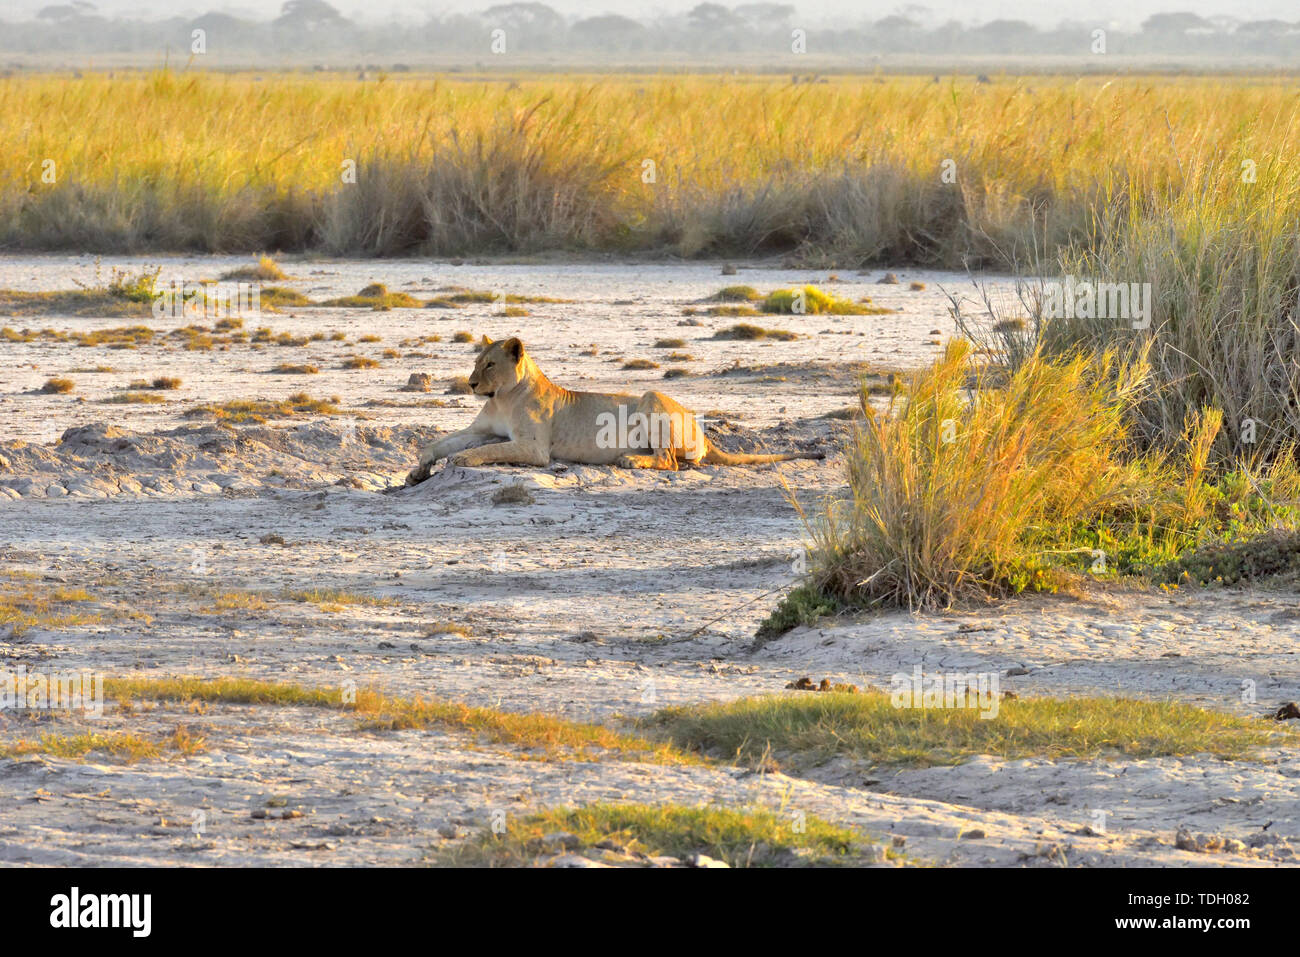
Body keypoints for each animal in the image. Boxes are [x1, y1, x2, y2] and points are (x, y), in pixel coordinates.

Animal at [405, 337, 824, 484]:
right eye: (476, 362)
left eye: (490, 365)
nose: (471, 383)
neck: (502, 397)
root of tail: (706, 436)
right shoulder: (481, 428)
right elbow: (440, 443)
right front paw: (418, 471)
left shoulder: (534, 449)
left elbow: (488, 450)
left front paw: (461, 461)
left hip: (651, 398)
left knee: (670, 461)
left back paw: (631, 460)